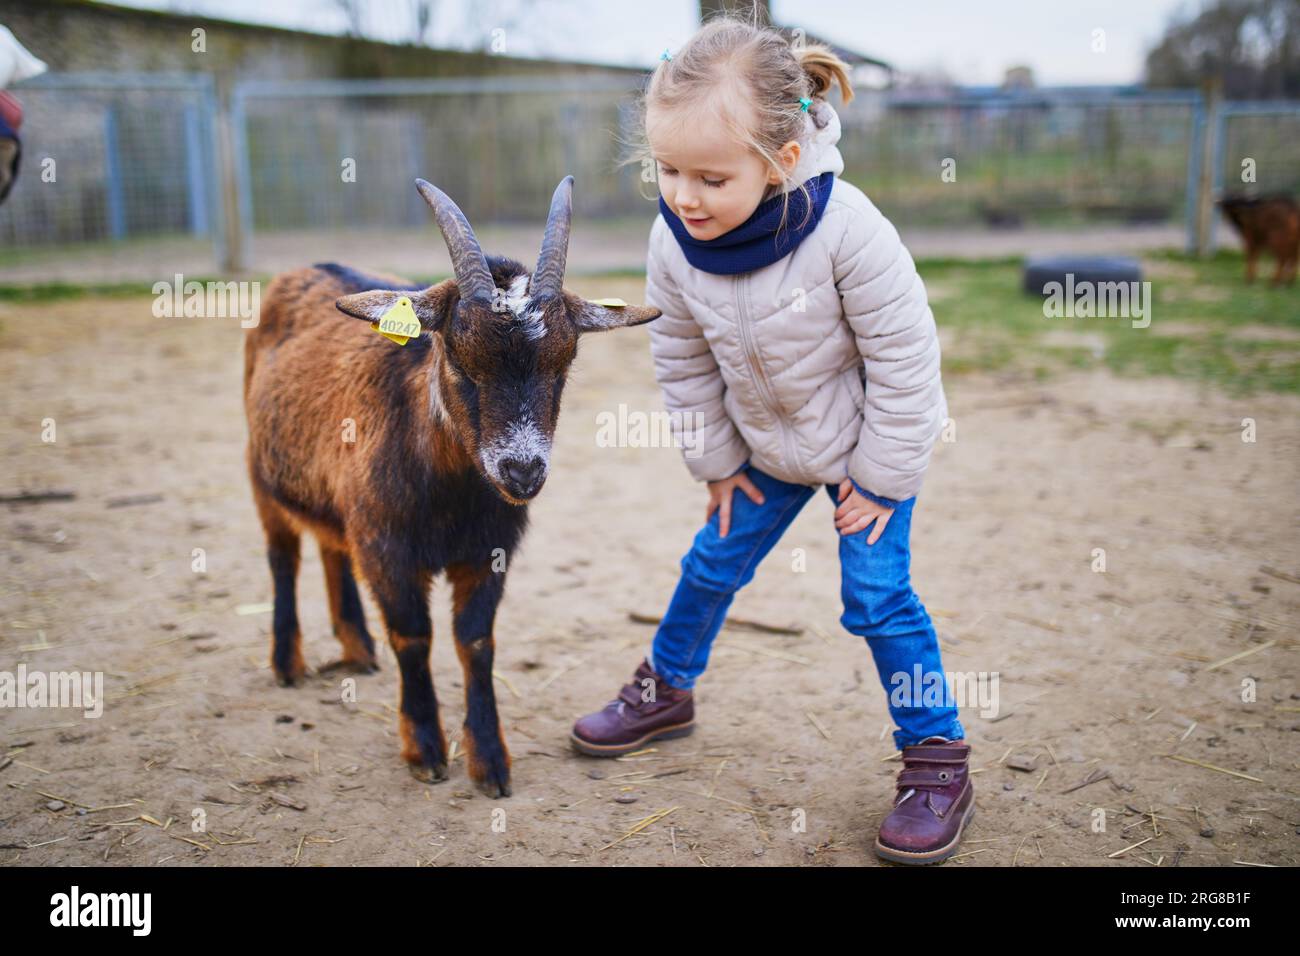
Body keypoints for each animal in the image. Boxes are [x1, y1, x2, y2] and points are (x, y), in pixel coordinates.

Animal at [242, 177, 660, 795]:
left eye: (564, 363)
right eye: (459, 359)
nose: (522, 470)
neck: (451, 497)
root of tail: (305, 268)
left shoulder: (488, 552)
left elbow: (476, 640)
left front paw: (489, 761)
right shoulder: (387, 549)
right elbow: (414, 637)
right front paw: (425, 750)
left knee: (329, 545)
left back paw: (357, 647)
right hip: (261, 473)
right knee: (282, 556)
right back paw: (287, 662)